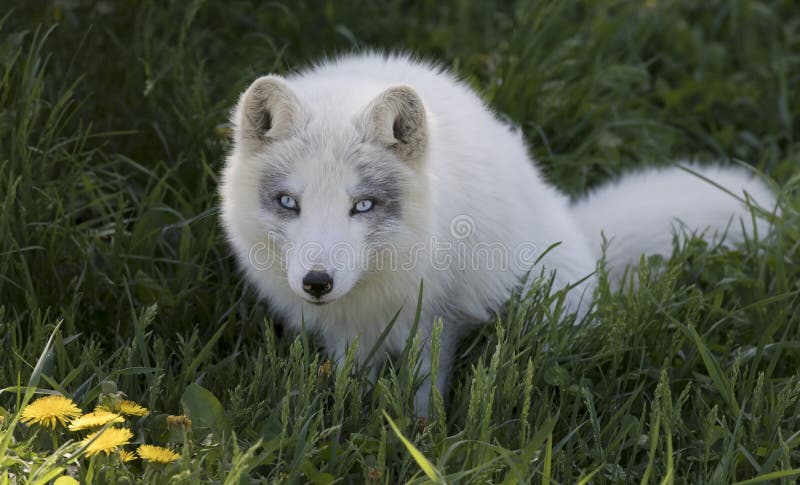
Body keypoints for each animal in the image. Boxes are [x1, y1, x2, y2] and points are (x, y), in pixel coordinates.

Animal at [219, 53, 776, 416]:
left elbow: (426, 388)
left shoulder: (439, 315)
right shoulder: (345, 332)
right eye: (289, 203)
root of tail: (577, 233)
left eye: (363, 205)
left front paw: (420, 437)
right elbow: (352, 382)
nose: (317, 282)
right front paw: (347, 423)